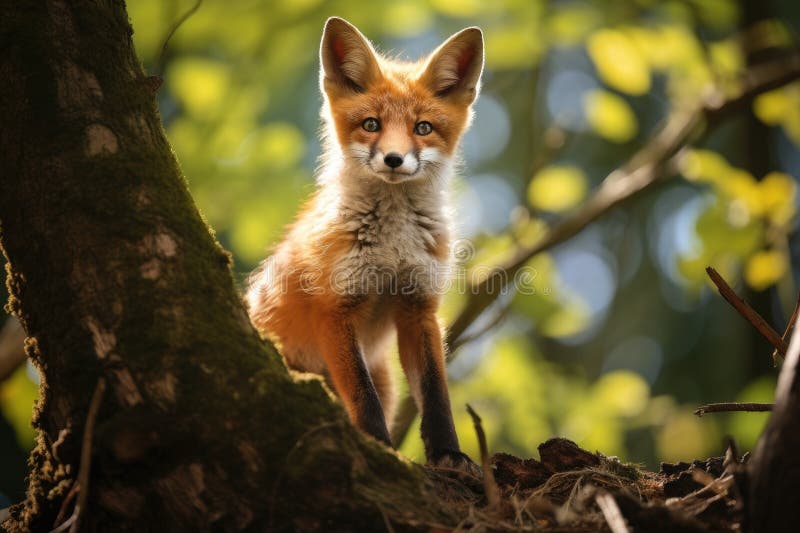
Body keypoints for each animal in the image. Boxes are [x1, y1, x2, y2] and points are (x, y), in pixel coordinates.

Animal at [246, 17, 483, 469]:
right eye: (371, 124)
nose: (393, 159)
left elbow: (436, 394)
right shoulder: (335, 310)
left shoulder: (418, 308)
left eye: (423, 128)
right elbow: (362, 396)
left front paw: (449, 453)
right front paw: (379, 448)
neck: (392, 245)